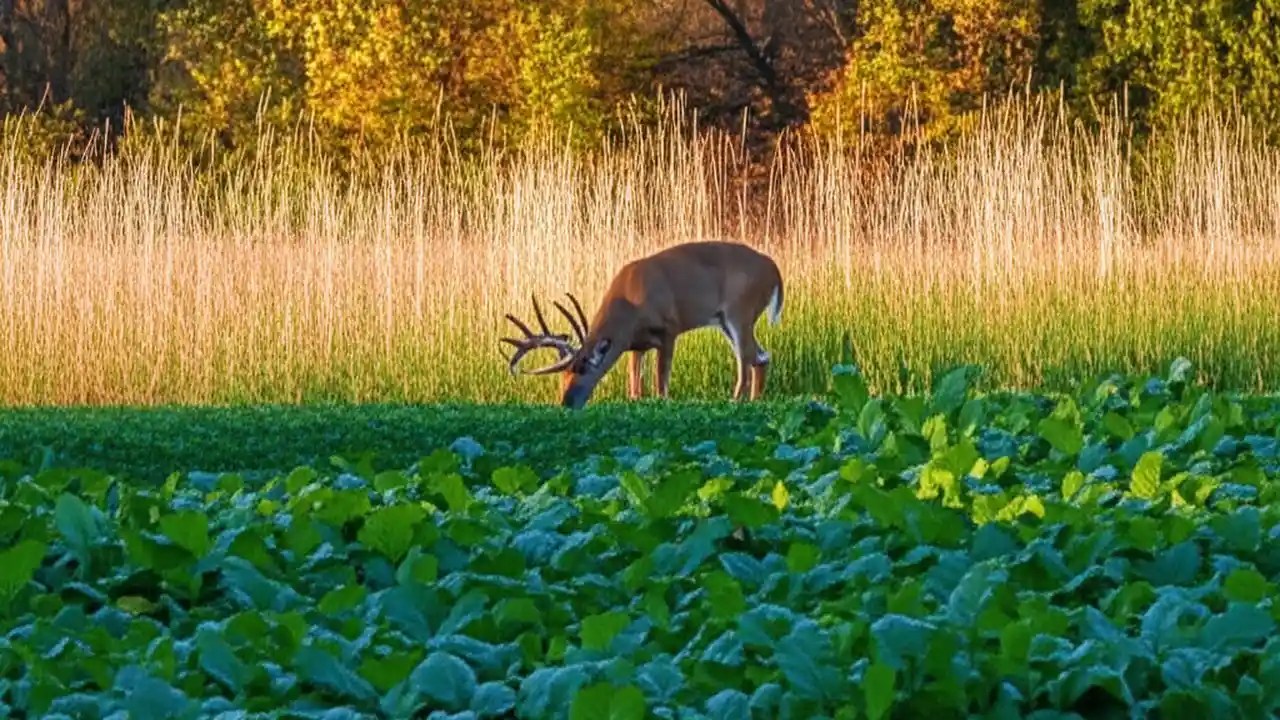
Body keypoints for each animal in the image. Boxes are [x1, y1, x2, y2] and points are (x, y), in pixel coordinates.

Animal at [499, 240, 784, 409]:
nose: (566, 403)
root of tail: (774, 268)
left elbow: (661, 382)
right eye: (562, 375)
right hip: (728, 320)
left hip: (740, 310)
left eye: (582, 369)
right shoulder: (636, 345)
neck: (630, 308)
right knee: (761, 356)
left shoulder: (669, 328)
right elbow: (634, 385)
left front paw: (662, 402)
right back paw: (755, 401)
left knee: (746, 360)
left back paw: (736, 401)